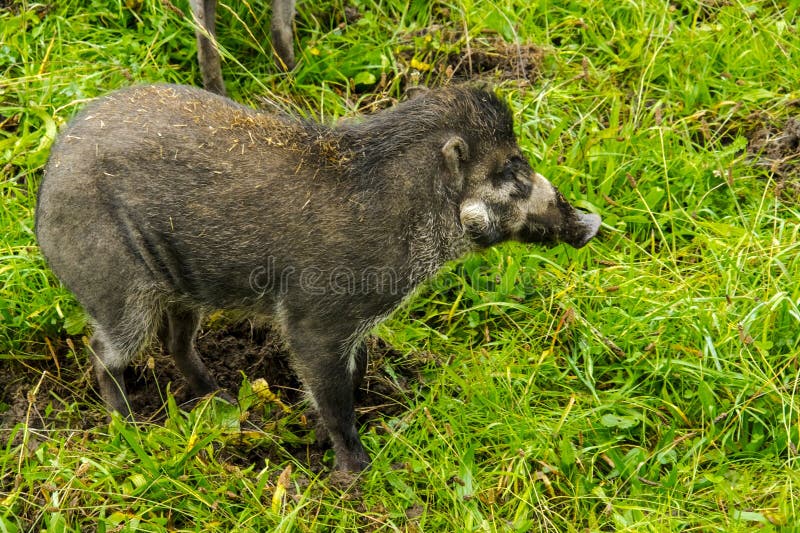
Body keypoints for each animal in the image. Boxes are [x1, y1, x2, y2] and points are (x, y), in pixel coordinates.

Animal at [35, 84, 600, 471]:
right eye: (510, 171)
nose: (591, 223)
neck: (415, 212)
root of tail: (43, 192)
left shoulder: (358, 324)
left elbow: (355, 373)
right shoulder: (315, 322)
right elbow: (334, 398)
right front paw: (357, 474)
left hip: (182, 287)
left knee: (175, 343)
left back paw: (223, 401)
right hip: (117, 290)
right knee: (103, 355)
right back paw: (128, 426)